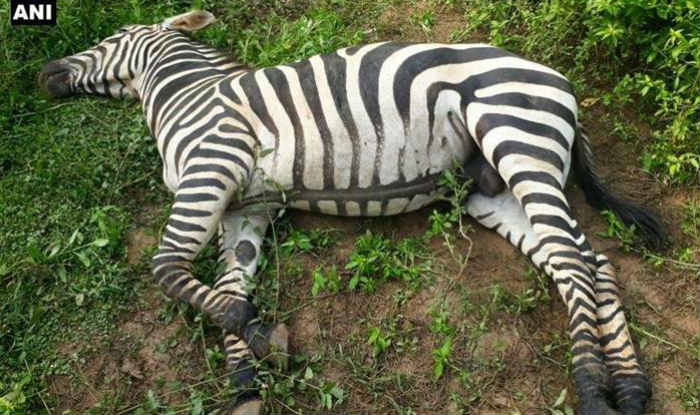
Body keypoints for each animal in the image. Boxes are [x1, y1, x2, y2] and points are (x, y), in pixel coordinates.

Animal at [38, 10, 664, 414]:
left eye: (110, 38)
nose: (43, 71)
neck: (186, 95)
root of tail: (560, 80)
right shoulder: (248, 207)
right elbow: (229, 285)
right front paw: (245, 379)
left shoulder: (211, 167)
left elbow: (168, 269)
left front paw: (262, 336)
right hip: (492, 189)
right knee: (586, 264)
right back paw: (630, 386)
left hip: (517, 137)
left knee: (576, 263)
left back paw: (593, 389)